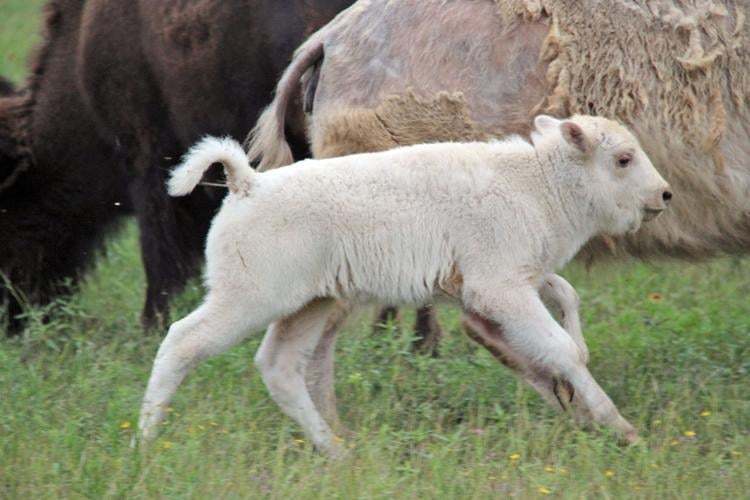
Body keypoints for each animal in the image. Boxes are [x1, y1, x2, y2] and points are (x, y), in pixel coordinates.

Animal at [138, 115, 672, 453]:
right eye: (624, 159)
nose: (664, 195)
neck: (537, 182)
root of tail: (249, 184)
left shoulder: (515, 280)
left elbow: (567, 299)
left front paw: (580, 396)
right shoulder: (500, 289)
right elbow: (562, 348)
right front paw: (621, 427)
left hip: (308, 304)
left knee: (280, 367)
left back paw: (336, 449)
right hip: (246, 300)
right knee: (183, 342)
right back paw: (144, 442)